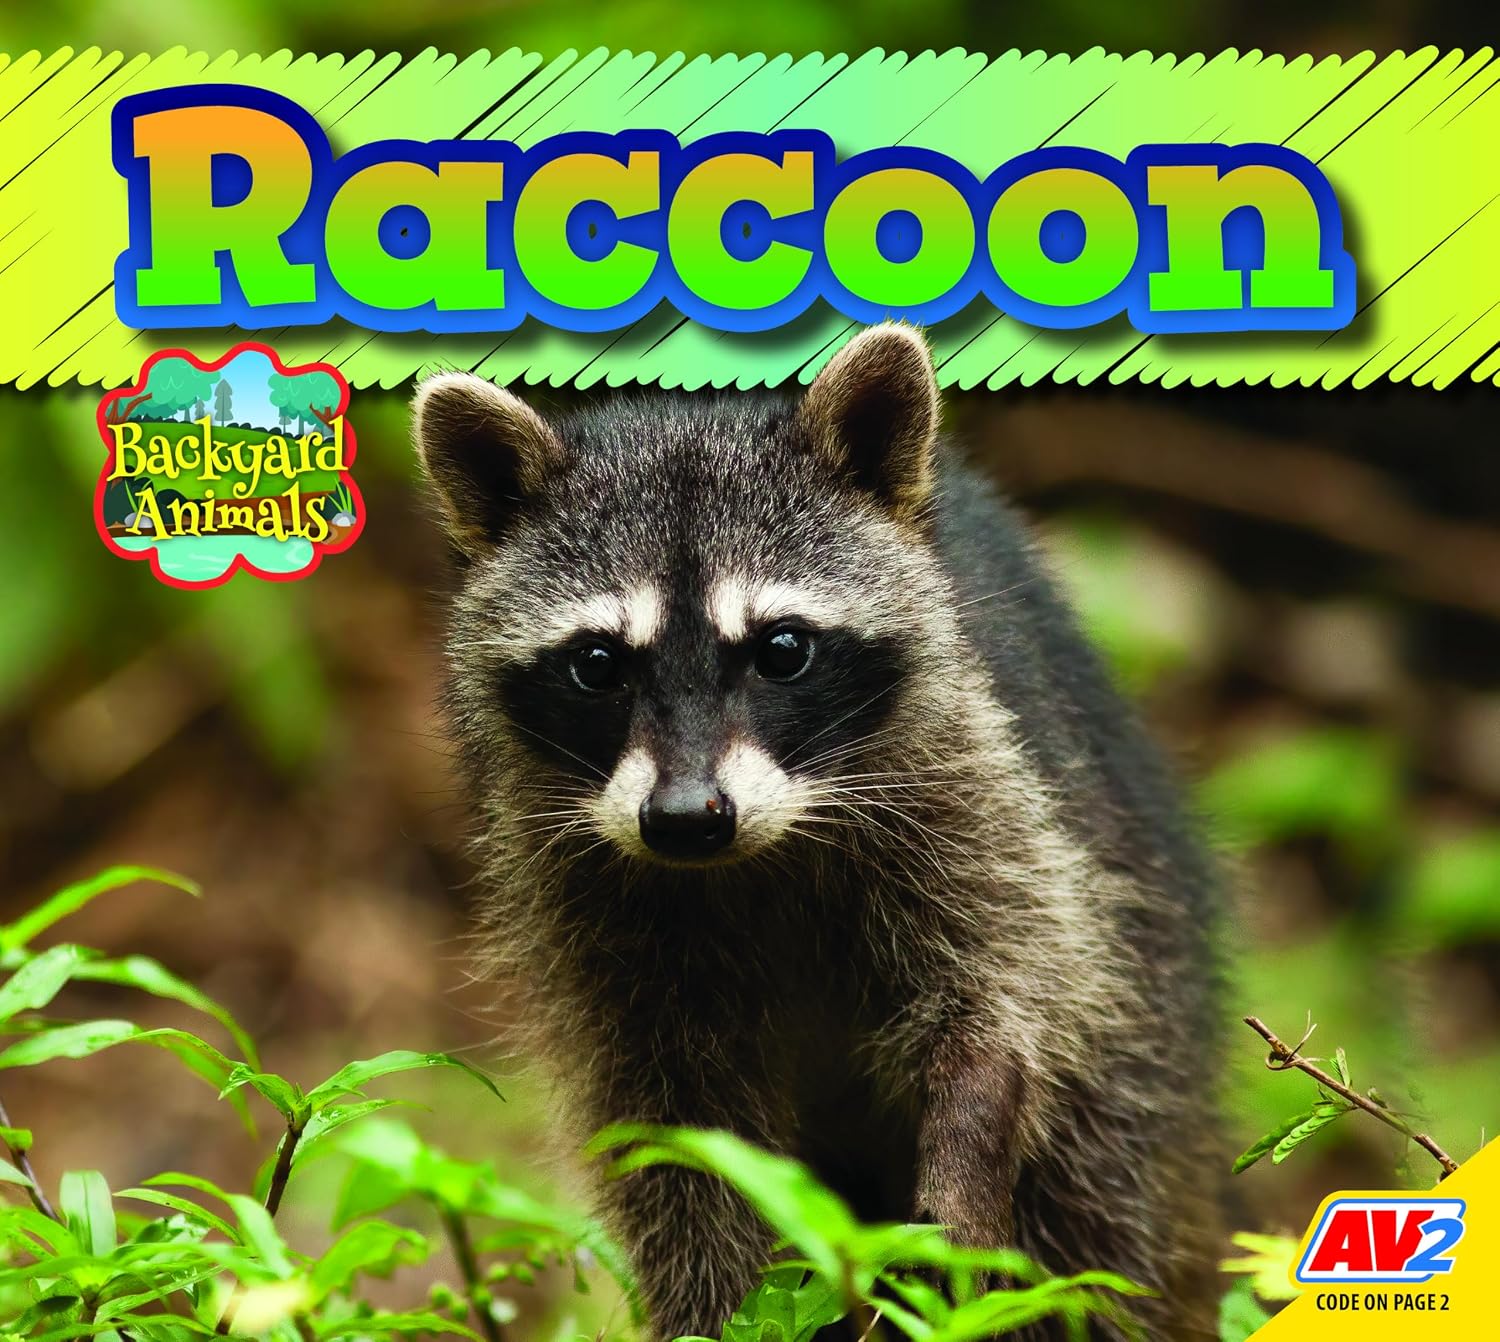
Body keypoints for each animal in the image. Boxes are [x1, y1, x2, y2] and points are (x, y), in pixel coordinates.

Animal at [413, 325, 1223, 1340]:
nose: (686, 820)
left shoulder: (972, 779)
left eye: (782, 650)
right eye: (597, 664)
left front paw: (969, 1139)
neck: (754, 855)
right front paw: (717, 1310)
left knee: (1098, 1203)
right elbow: (675, 1141)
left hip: (1141, 994)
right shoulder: (582, 900)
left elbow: (1012, 981)